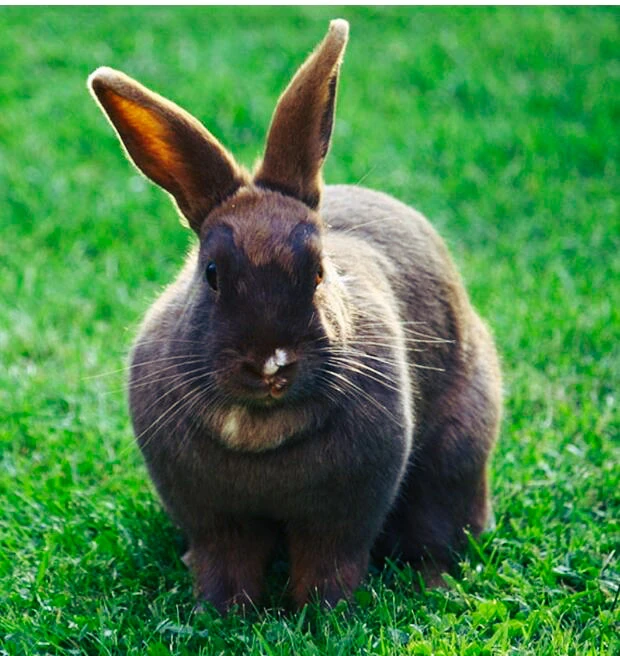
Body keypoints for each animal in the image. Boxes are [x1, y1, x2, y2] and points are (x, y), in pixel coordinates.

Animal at [87, 19, 502, 613]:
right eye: (211, 273)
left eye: (319, 272)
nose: (270, 361)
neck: (260, 424)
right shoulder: (215, 519)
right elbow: (225, 562)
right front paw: (222, 612)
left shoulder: (341, 515)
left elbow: (329, 563)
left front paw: (320, 616)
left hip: (455, 460)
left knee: (436, 533)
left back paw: (436, 587)